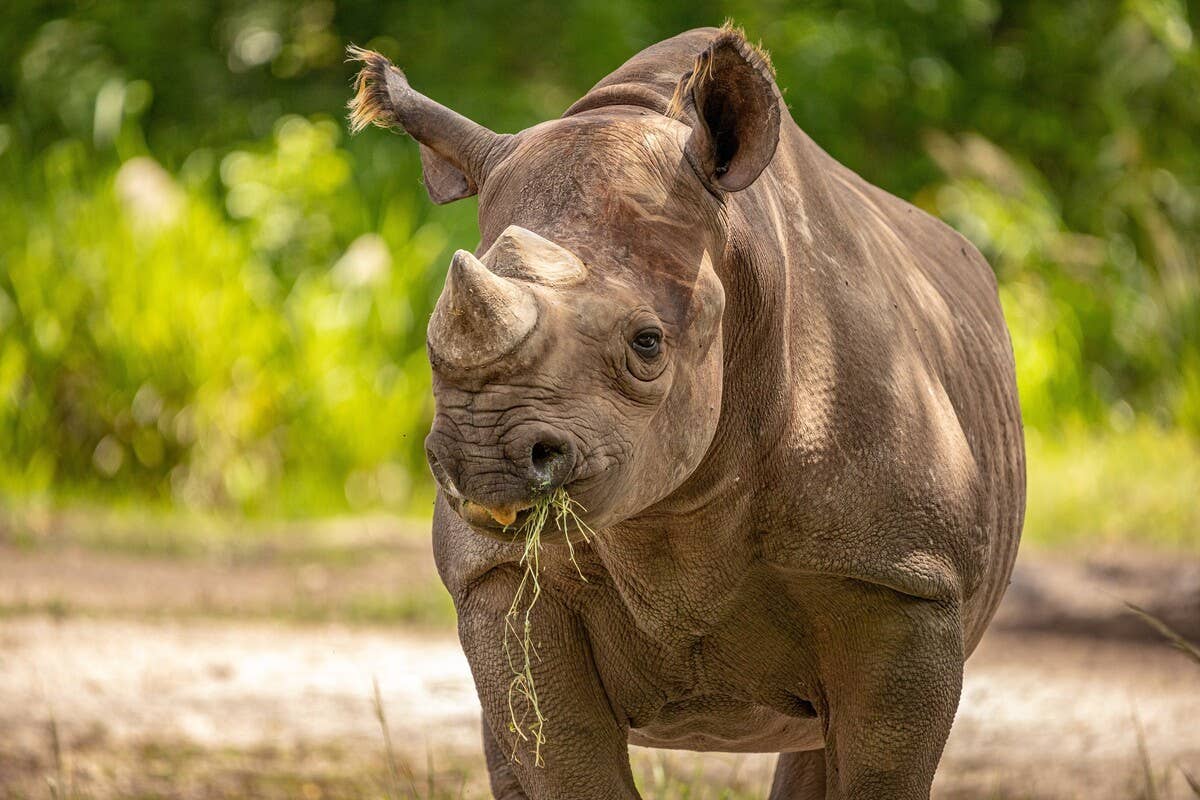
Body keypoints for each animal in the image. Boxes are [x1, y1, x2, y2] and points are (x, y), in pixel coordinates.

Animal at [348, 23, 1024, 800]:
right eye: (431, 342)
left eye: (647, 344)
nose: (480, 458)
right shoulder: (498, 579)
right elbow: (560, 759)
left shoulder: (903, 580)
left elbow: (880, 770)